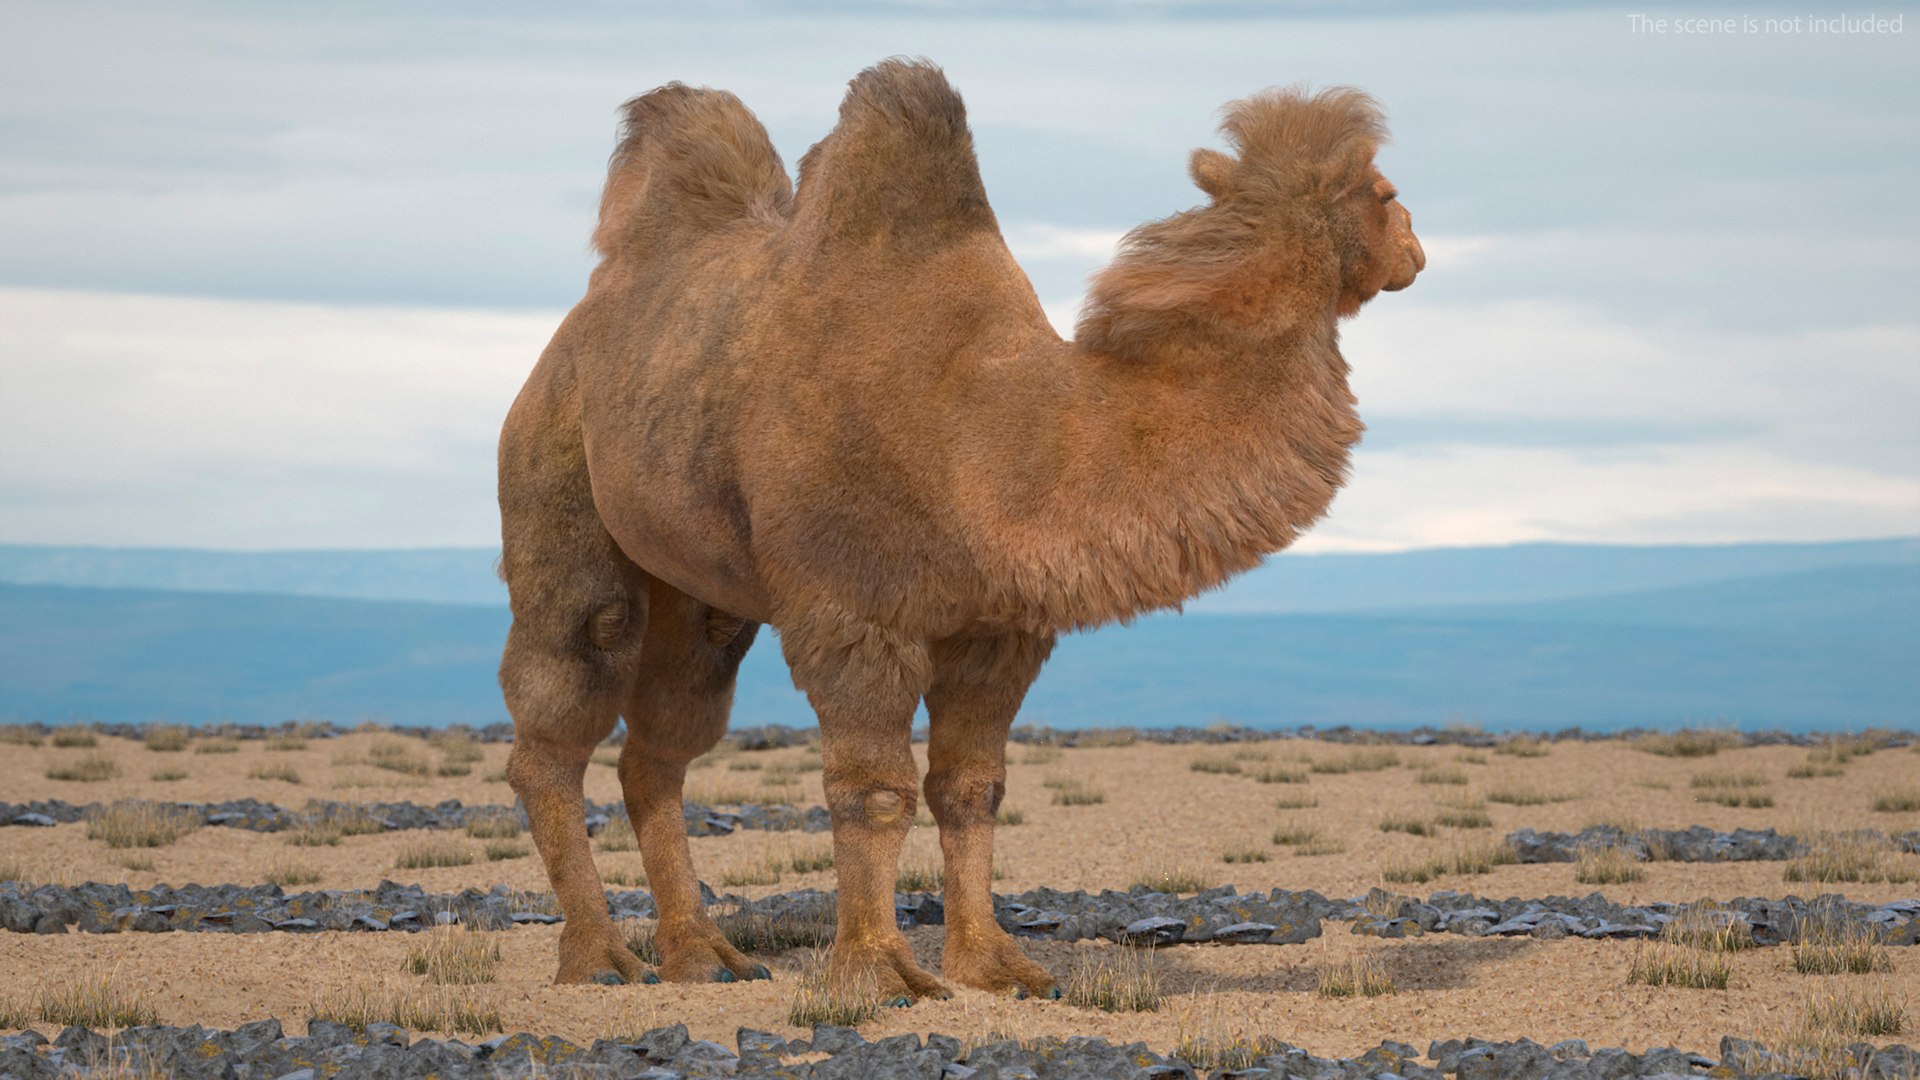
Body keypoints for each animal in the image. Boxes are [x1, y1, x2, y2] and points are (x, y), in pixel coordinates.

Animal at [497, 57, 1422, 1000]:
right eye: (1384, 193)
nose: (1418, 248)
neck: (987, 437)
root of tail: (587, 314)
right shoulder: (856, 611)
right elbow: (873, 791)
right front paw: (877, 972)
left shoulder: (998, 627)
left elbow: (971, 788)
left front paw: (996, 965)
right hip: (555, 475)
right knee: (565, 697)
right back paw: (599, 958)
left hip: (698, 582)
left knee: (662, 743)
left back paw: (702, 956)